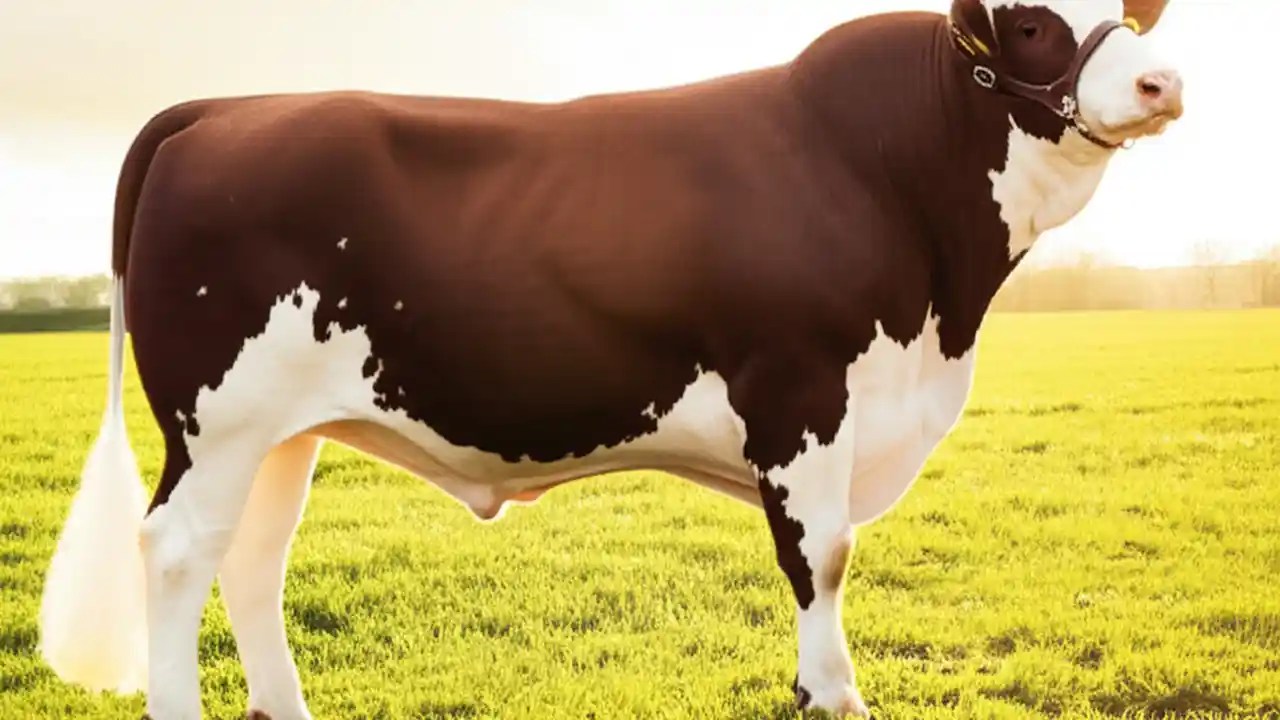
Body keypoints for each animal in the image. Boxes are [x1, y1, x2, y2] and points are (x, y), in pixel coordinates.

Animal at [37, 0, 1182, 717]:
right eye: (1030, 24)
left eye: (1134, 17)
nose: (1160, 80)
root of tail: (227, 107)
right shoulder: (800, 387)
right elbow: (820, 554)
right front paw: (831, 694)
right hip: (219, 421)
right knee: (175, 551)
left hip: (282, 430)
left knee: (251, 558)